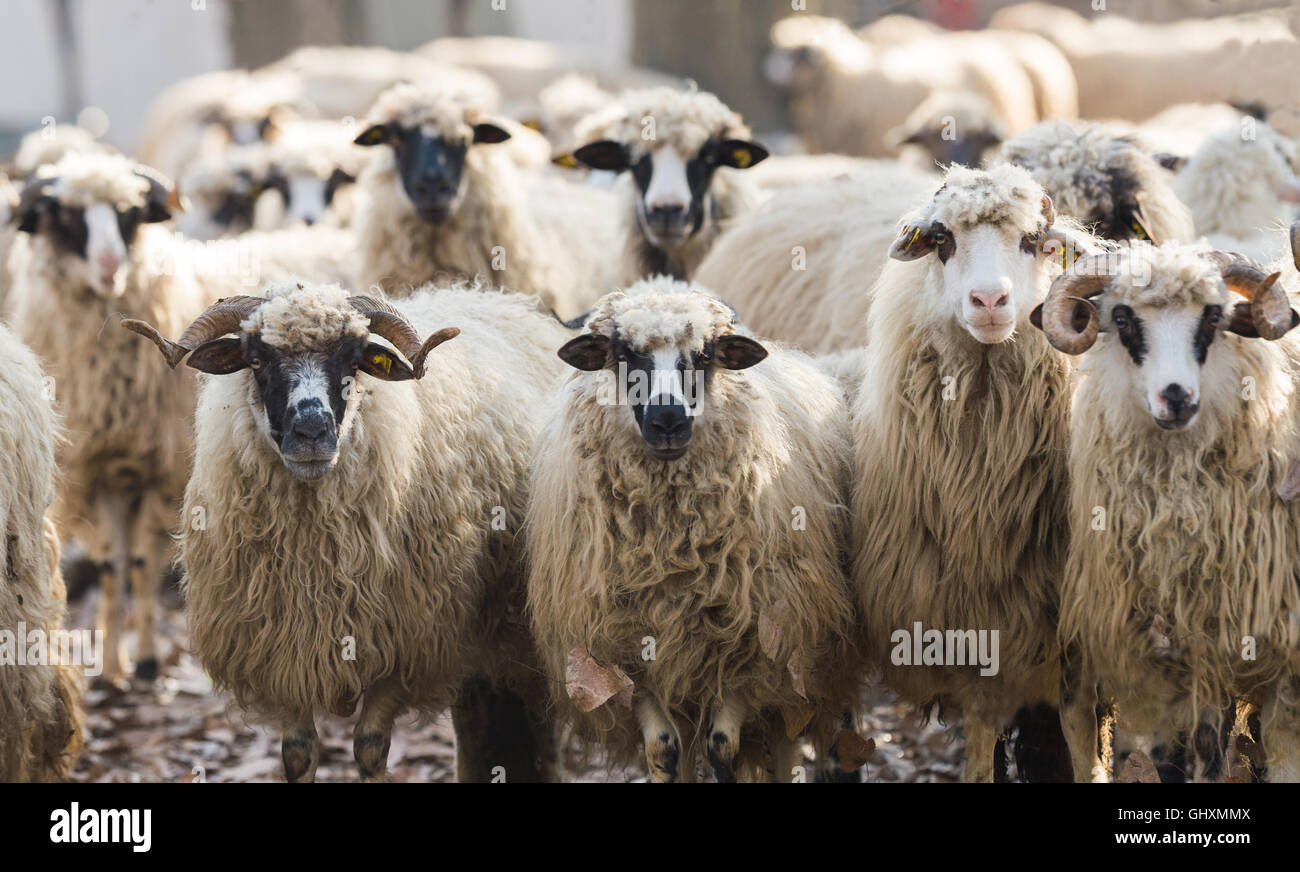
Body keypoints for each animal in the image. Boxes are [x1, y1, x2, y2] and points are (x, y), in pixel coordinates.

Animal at [124, 280, 569, 782]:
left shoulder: (406, 646)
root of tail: (494, 296)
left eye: (354, 360)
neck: (314, 554)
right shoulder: (281, 652)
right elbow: (298, 752)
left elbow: (370, 747)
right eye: (255, 360)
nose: (312, 431)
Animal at [527, 276, 860, 782]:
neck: (670, 555)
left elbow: (722, 746)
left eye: (704, 356)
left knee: (790, 741)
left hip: (796, 658)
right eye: (622, 353)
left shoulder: (747, 648)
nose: (668, 419)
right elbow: (663, 749)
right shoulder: (626, 651)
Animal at [847, 163, 1097, 782]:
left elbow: (1081, 733)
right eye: (942, 240)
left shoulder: (1077, 637)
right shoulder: (971, 620)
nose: (989, 299)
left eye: (1033, 241)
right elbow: (983, 735)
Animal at [1035, 241, 1300, 782]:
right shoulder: (1184, 645)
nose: (1176, 397)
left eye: (1214, 316)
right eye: (1121, 317)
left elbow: (1281, 745)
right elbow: (1199, 746)